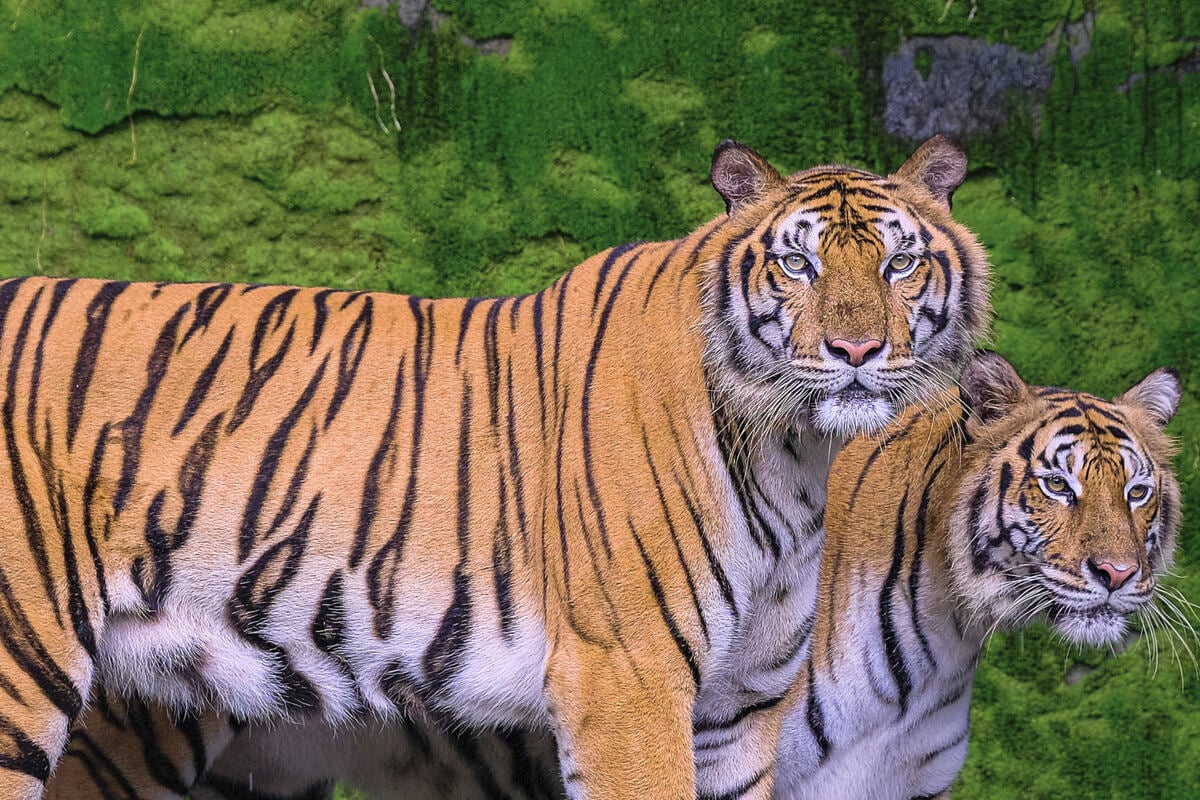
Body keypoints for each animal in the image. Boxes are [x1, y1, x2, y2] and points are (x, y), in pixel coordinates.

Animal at [12, 134, 989, 800]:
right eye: (796, 262)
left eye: (901, 263)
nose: (856, 350)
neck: (797, 458)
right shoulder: (628, 679)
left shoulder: (737, 711)